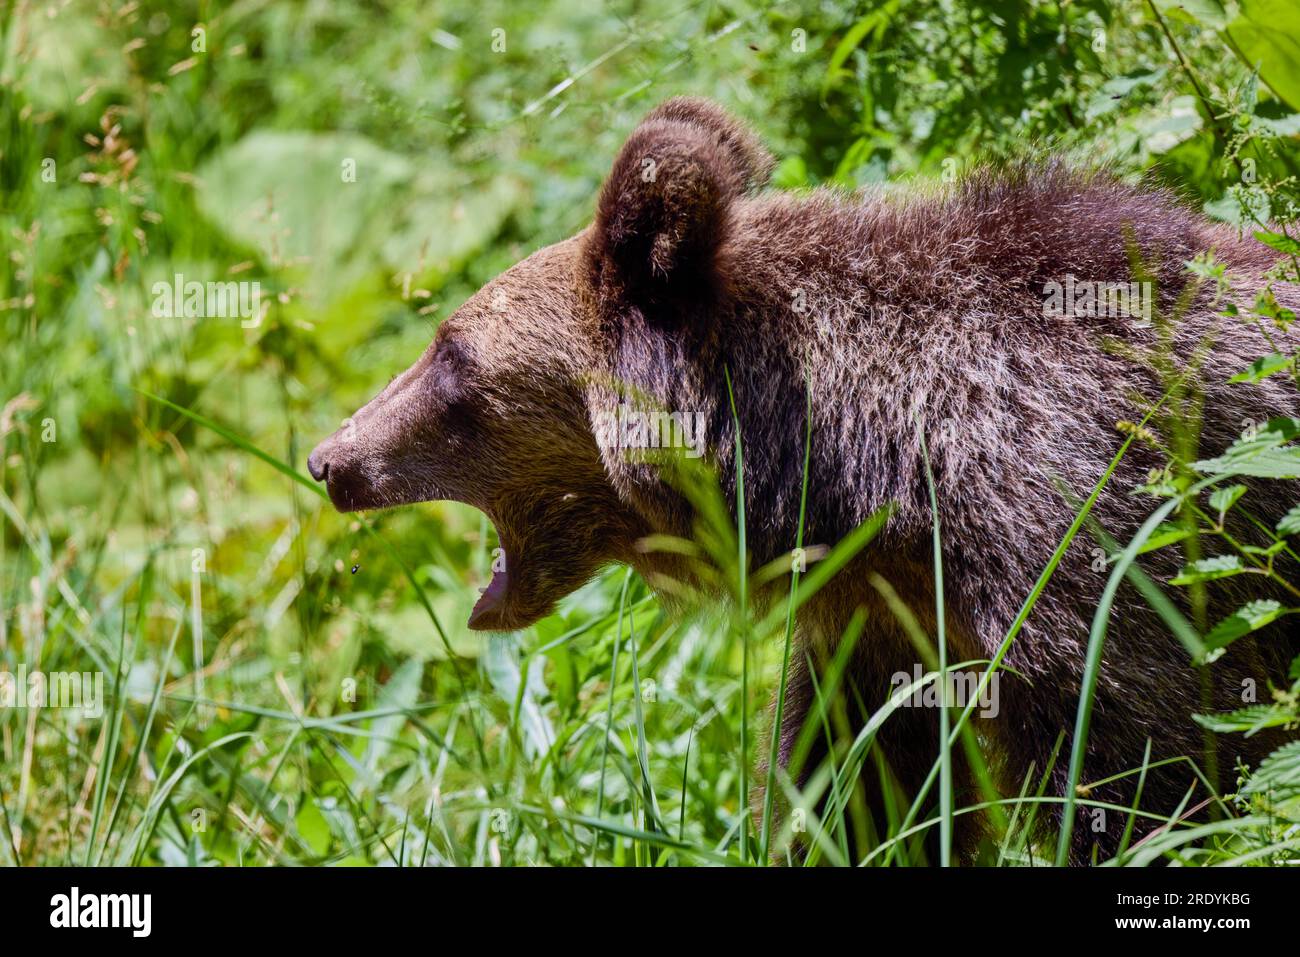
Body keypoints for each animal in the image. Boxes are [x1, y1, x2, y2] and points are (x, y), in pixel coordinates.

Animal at [307, 97, 1300, 864]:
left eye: (450, 355)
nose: (328, 460)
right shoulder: (884, 627)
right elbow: (859, 792)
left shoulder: (1091, 549)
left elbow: (1148, 776)